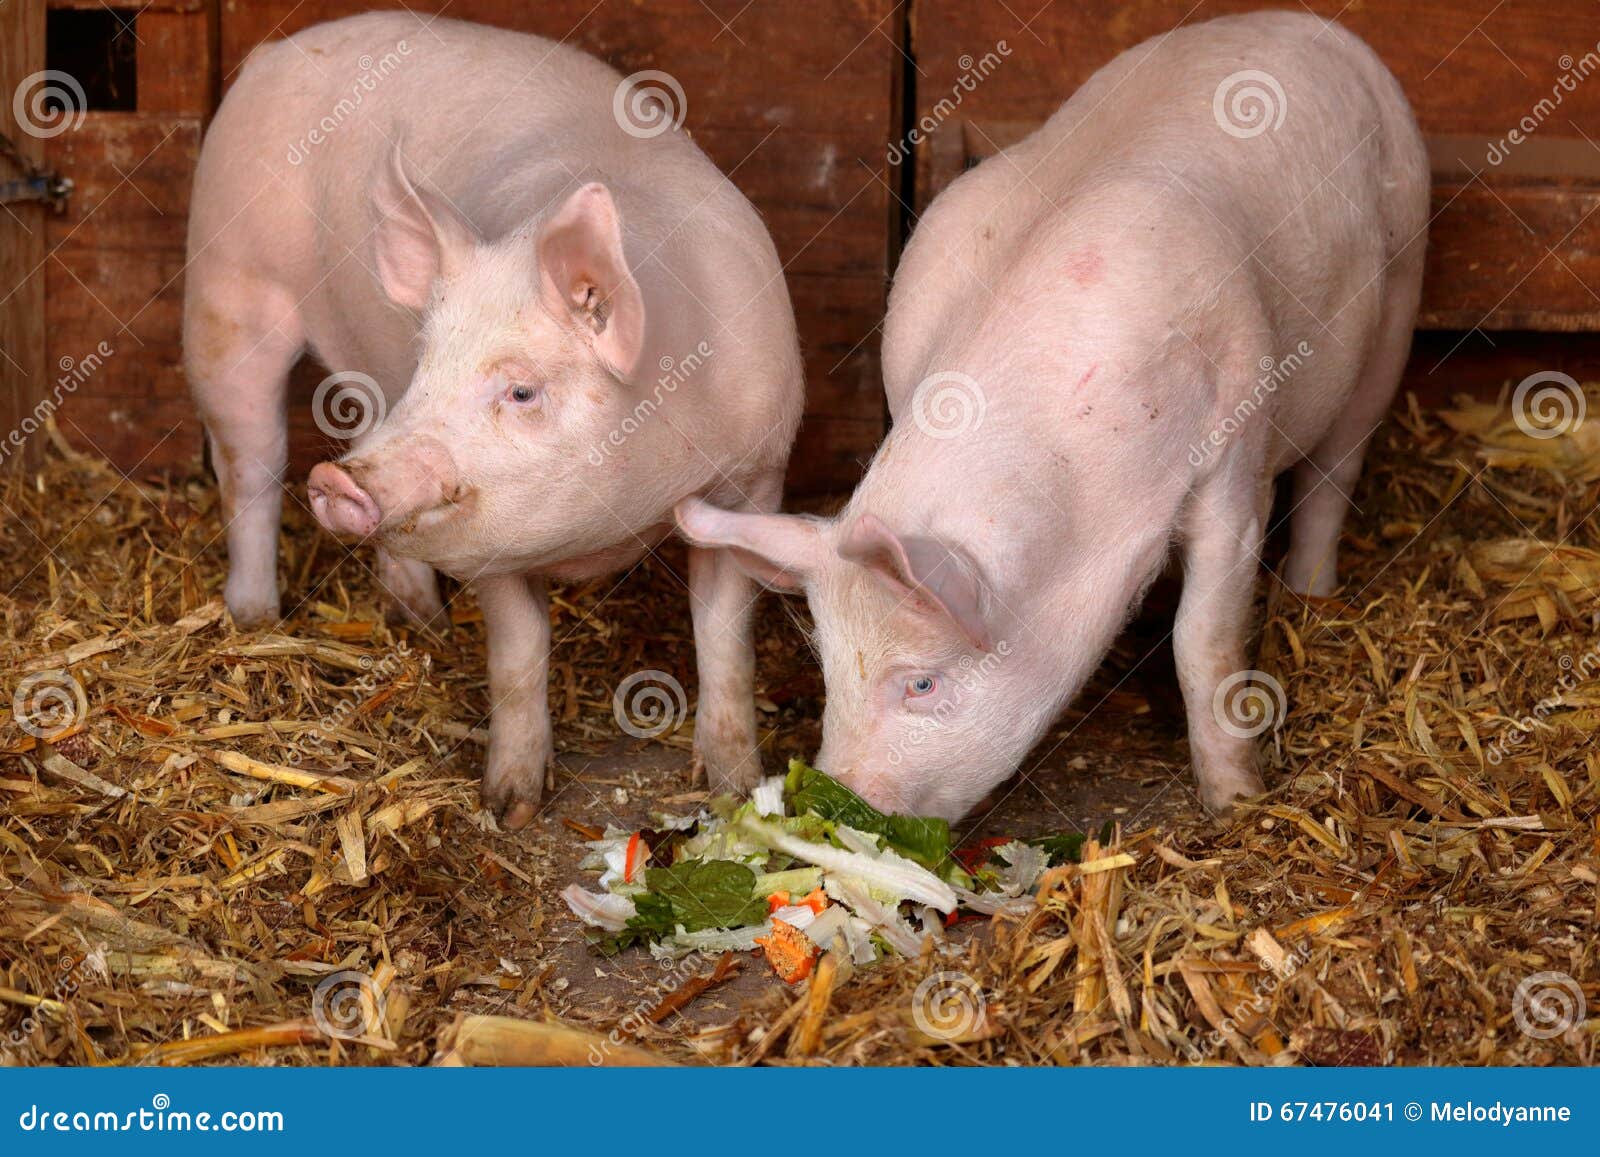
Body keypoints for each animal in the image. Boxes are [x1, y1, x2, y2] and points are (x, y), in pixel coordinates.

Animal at [183, 13, 804, 827]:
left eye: (521, 392)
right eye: (428, 362)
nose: (338, 487)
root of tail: (271, 53)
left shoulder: (754, 476)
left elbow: (725, 638)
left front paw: (735, 791)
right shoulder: (493, 544)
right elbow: (519, 653)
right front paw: (509, 807)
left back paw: (422, 621)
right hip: (226, 285)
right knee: (248, 466)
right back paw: (256, 620)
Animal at [676, 11, 1428, 820]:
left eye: (922, 681)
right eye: (827, 669)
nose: (838, 801)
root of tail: (1306, 23)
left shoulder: (1233, 459)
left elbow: (1202, 644)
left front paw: (1235, 802)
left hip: (1400, 286)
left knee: (1336, 471)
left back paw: (1314, 591)